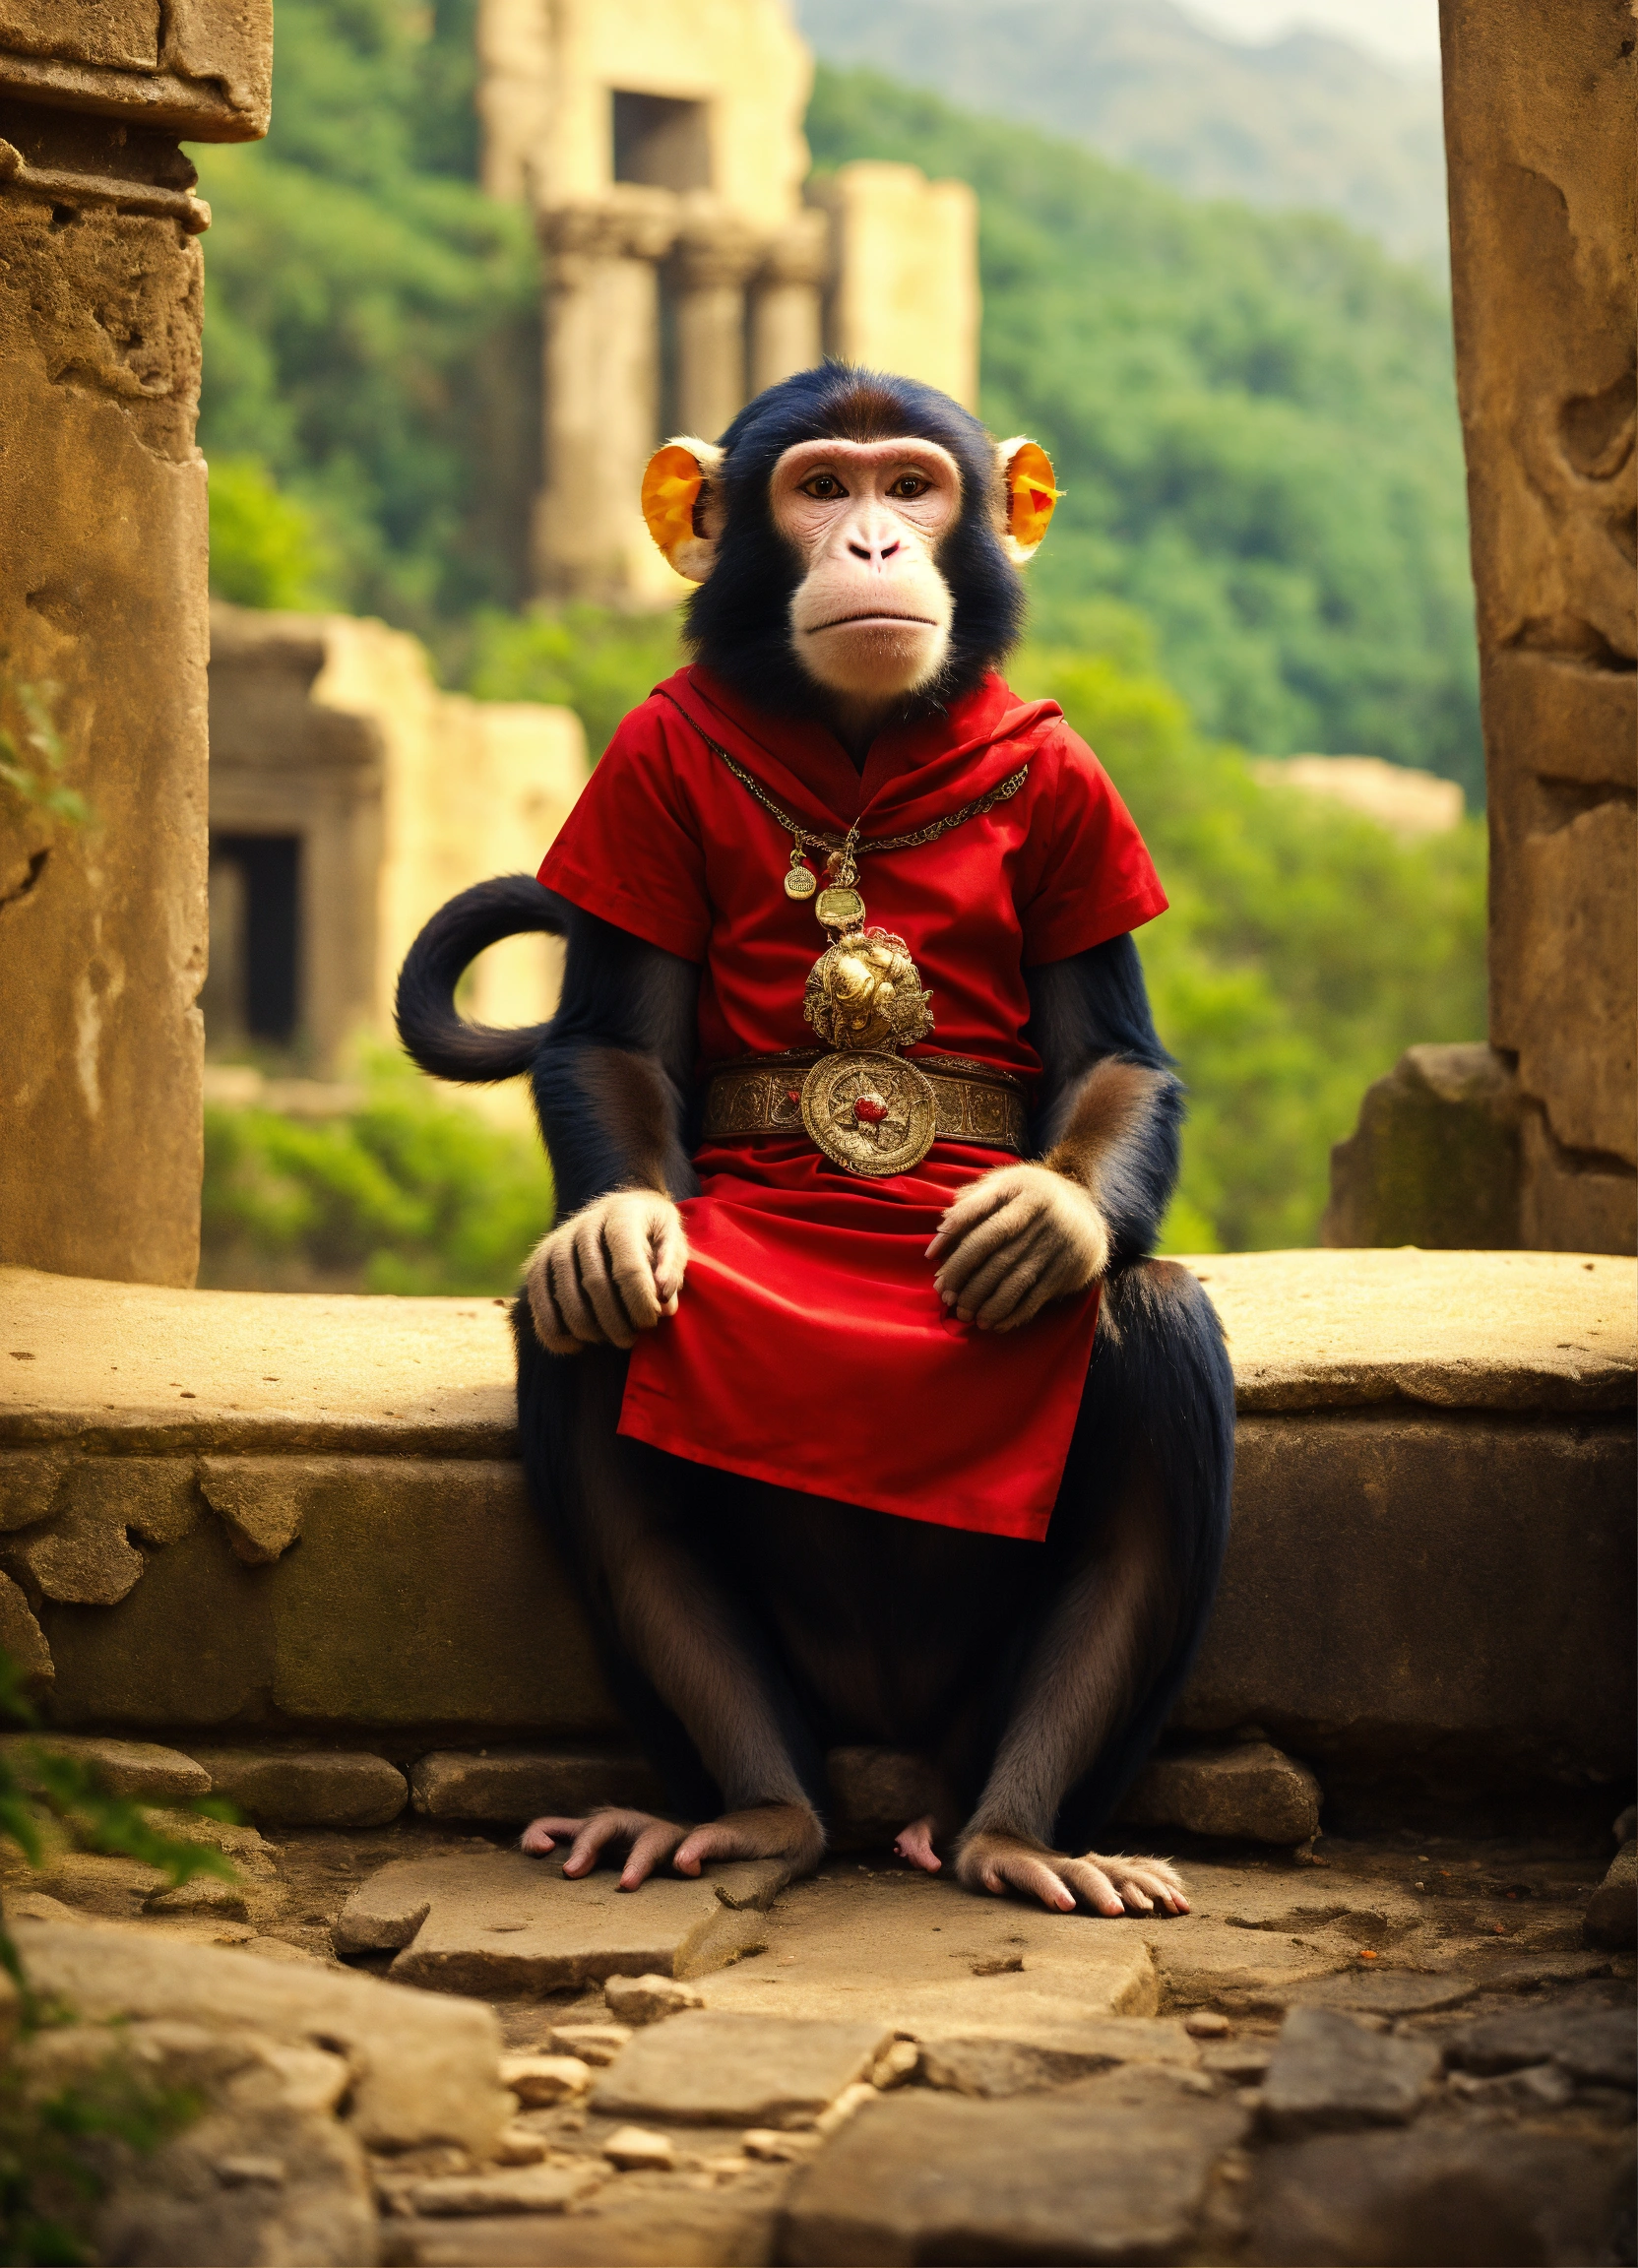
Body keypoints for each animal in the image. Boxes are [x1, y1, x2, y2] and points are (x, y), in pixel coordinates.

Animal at [397, 363, 1235, 1918]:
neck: (860, 766)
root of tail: (889, 1757)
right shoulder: (635, 775)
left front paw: (1047, 1221)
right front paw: (619, 1227)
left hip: (975, 1708)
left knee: (1150, 1326)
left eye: (911, 485)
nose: (873, 544)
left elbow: (1113, 1050)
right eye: (820, 489)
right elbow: (611, 1042)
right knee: (594, 1334)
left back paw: (1018, 1838)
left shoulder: (1077, 790)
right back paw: (755, 1816)